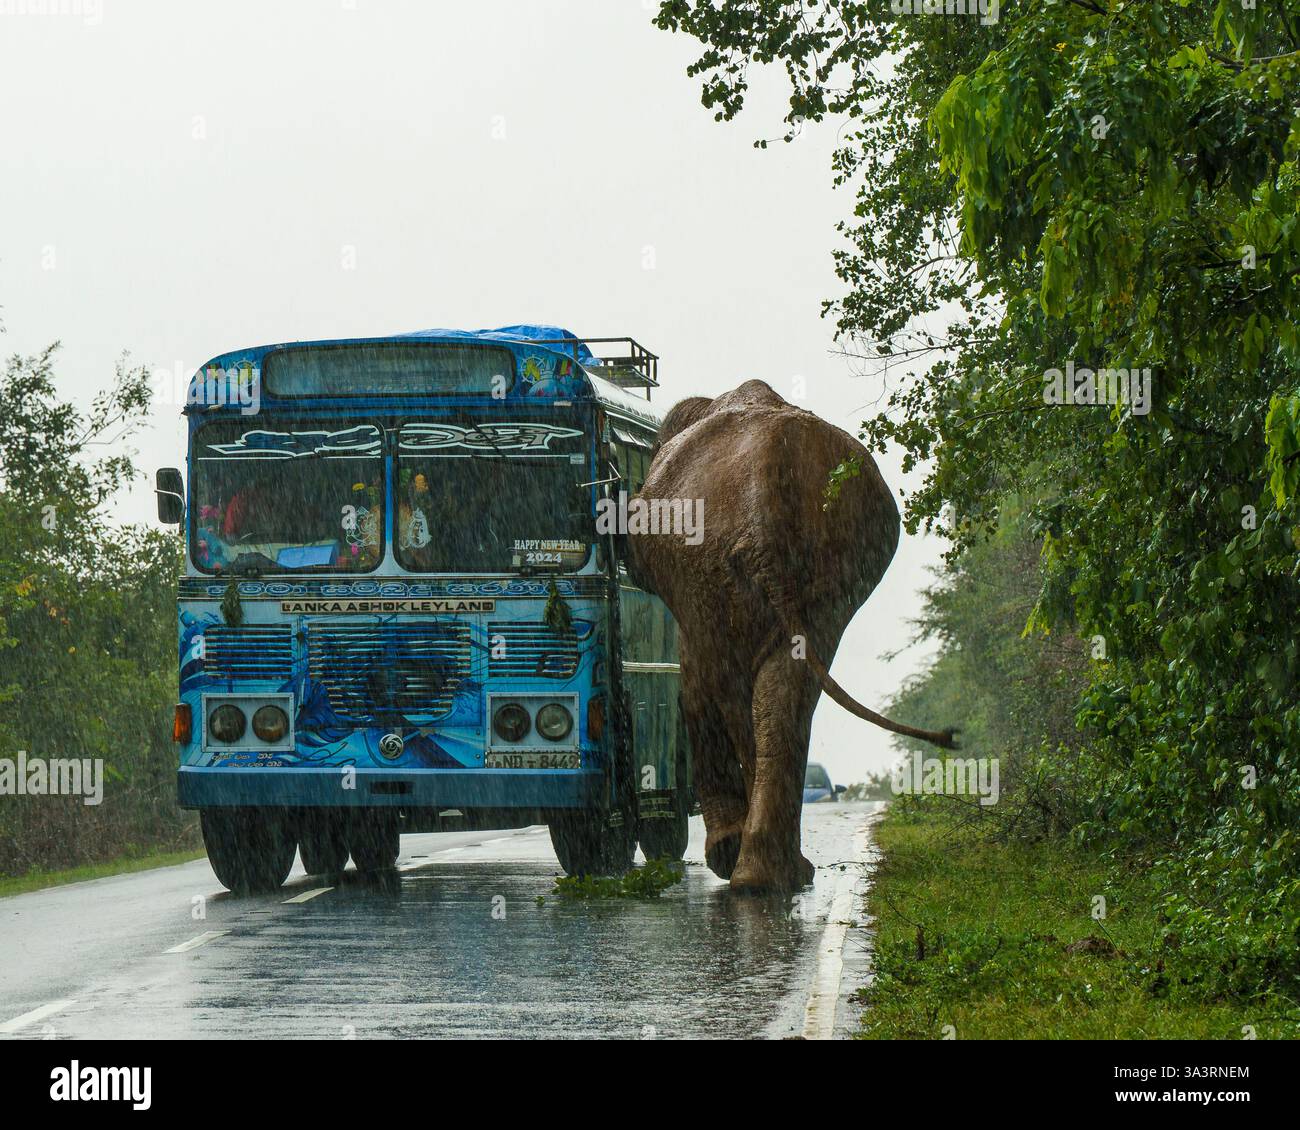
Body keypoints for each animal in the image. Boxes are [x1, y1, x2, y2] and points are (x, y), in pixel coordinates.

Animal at [627, 380, 957, 893]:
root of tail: (764, 503)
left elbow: (696, 690)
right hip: (831, 567)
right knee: (788, 685)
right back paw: (775, 873)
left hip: (715, 567)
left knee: (737, 689)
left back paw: (747, 869)